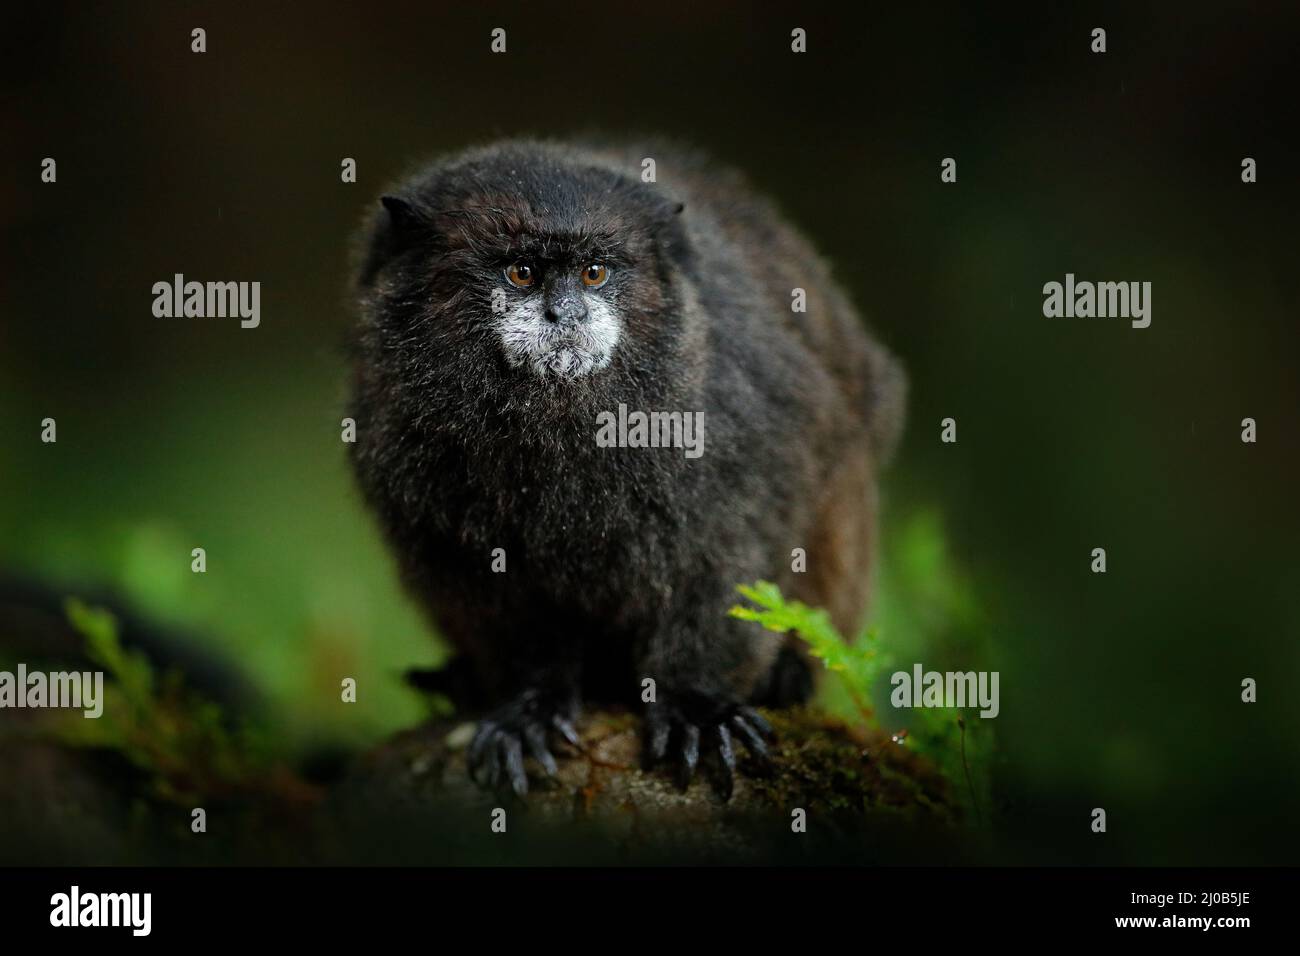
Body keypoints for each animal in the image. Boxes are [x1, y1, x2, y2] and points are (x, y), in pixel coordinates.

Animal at [347, 139, 905, 798]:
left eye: (594, 272)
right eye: (521, 273)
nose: (567, 314)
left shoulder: (732, 410)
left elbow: (723, 562)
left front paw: (695, 705)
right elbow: (493, 594)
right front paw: (529, 705)